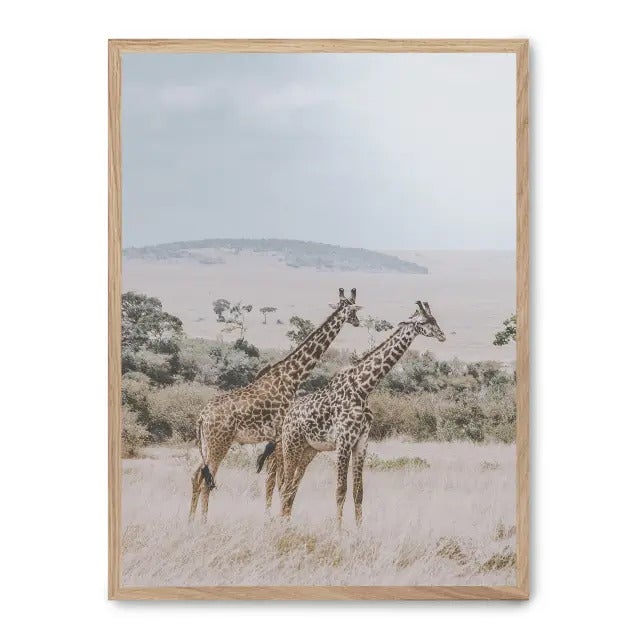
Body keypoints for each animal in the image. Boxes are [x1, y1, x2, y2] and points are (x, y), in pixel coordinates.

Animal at [189, 288, 362, 522]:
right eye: (352, 310)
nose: (358, 322)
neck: (293, 375)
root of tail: (201, 417)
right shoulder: (281, 435)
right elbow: (279, 481)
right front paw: (278, 517)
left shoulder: (276, 438)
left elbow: (273, 479)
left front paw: (271, 516)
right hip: (219, 444)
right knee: (208, 481)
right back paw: (204, 522)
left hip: (207, 445)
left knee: (196, 475)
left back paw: (190, 520)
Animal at [262, 300, 445, 525]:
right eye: (423, 321)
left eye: (434, 319)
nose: (442, 335)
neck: (363, 388)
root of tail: (286, 417)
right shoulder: (343, 442)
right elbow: (340, 490)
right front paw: (338, 529)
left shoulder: (361, 443)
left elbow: (359, 492)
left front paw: (359, 529)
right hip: (291, 445)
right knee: (284, 484)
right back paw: (282, 523)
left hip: (308, 449)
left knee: (291, 487)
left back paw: (287, 522)